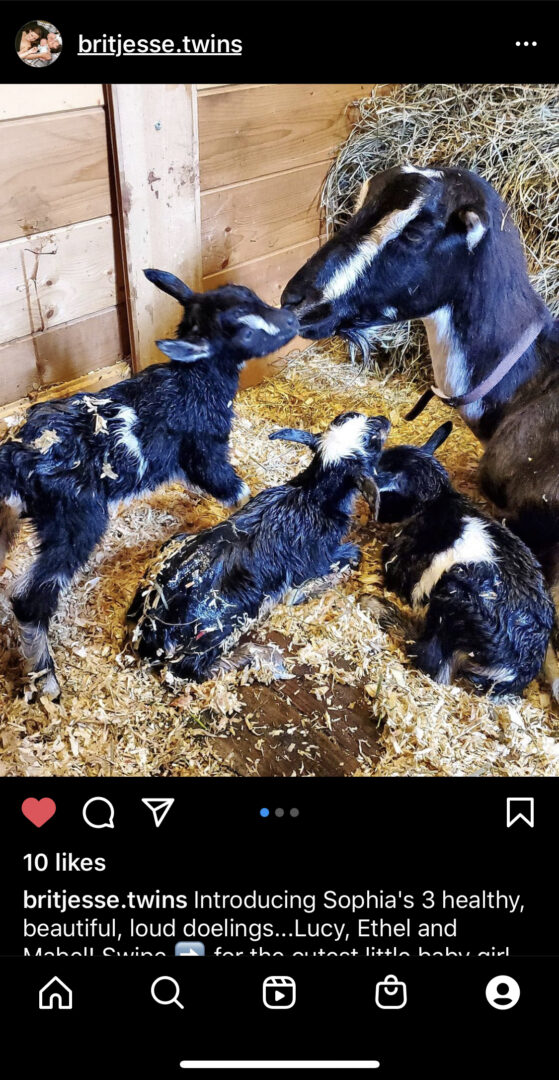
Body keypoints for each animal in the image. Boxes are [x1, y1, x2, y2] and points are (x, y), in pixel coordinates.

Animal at [0, 270, 298, 699]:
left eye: (250, 294)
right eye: (244, 328)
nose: (292, 319)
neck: (195, 381)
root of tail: (18, 458)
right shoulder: (204, 452)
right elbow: (234, 490)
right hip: (75, 519)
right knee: (30, 598)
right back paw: (47, 679)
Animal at [127, 412, 390, 683]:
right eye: (373, 440)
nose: (385, 419)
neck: (311, 494)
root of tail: (150, 629)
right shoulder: (317, 559)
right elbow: (352, 556)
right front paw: (303, 593)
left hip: (174, 544)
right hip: (218, 629)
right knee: (189, 671)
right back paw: (262, 657)